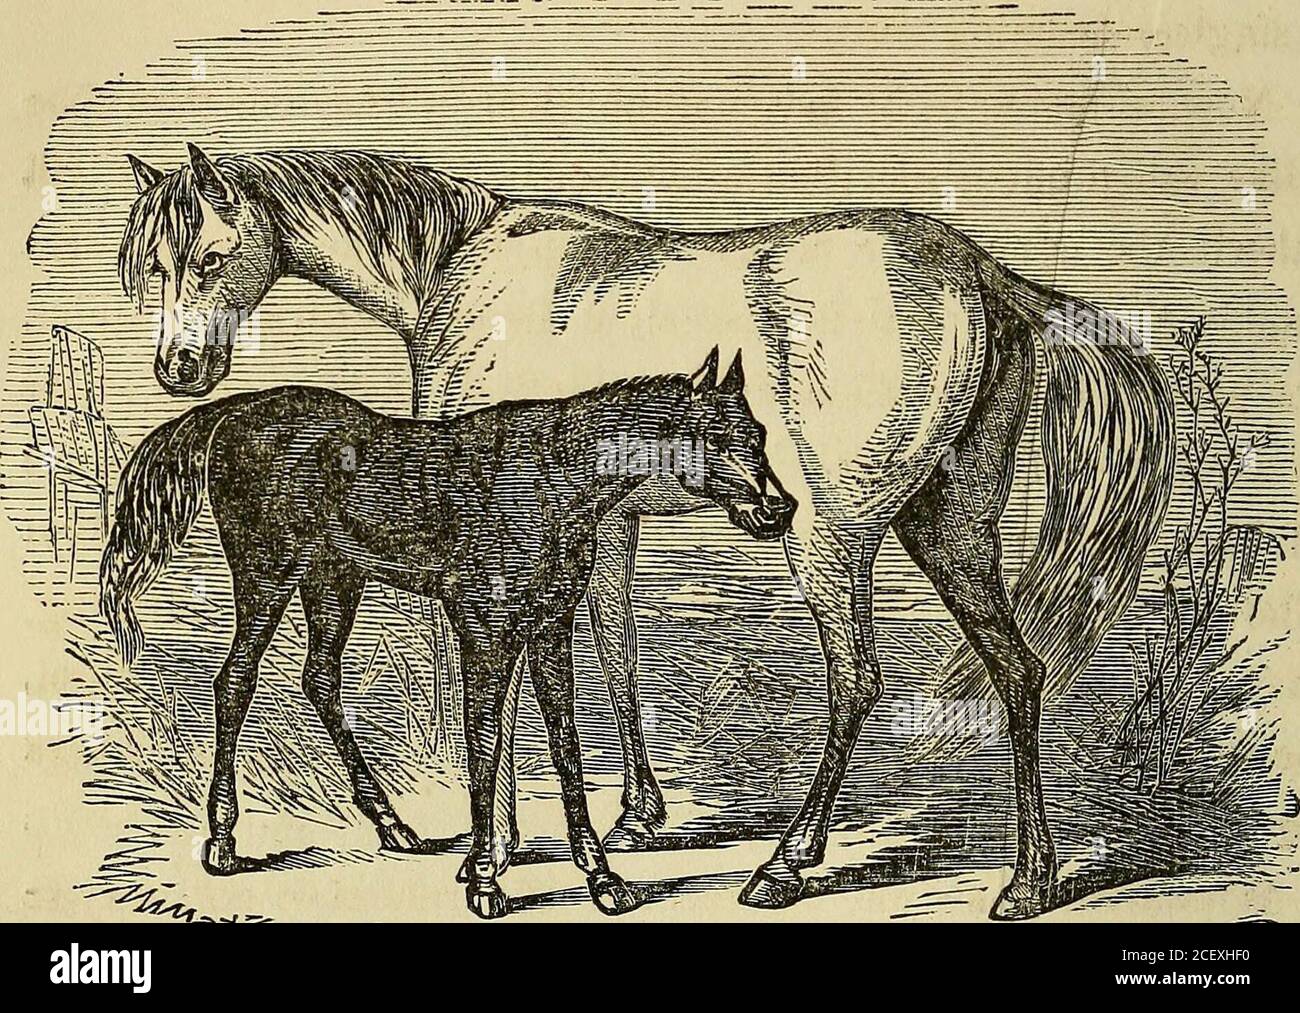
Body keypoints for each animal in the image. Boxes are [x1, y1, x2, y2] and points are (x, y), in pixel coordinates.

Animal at [99, 349, 797, 919]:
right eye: (714, 436)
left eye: (759, 433)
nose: (780, 508)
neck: (552, 479)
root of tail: (228, 415)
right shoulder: (483, 629)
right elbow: (484, 744)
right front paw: (486, 881)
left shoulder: (549, 628)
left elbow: (564, 745)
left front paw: (604, 882)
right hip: (268, 577)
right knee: (235, 683)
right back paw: (222, 843)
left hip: (333, 580)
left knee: (318, 679)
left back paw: (393, 827)